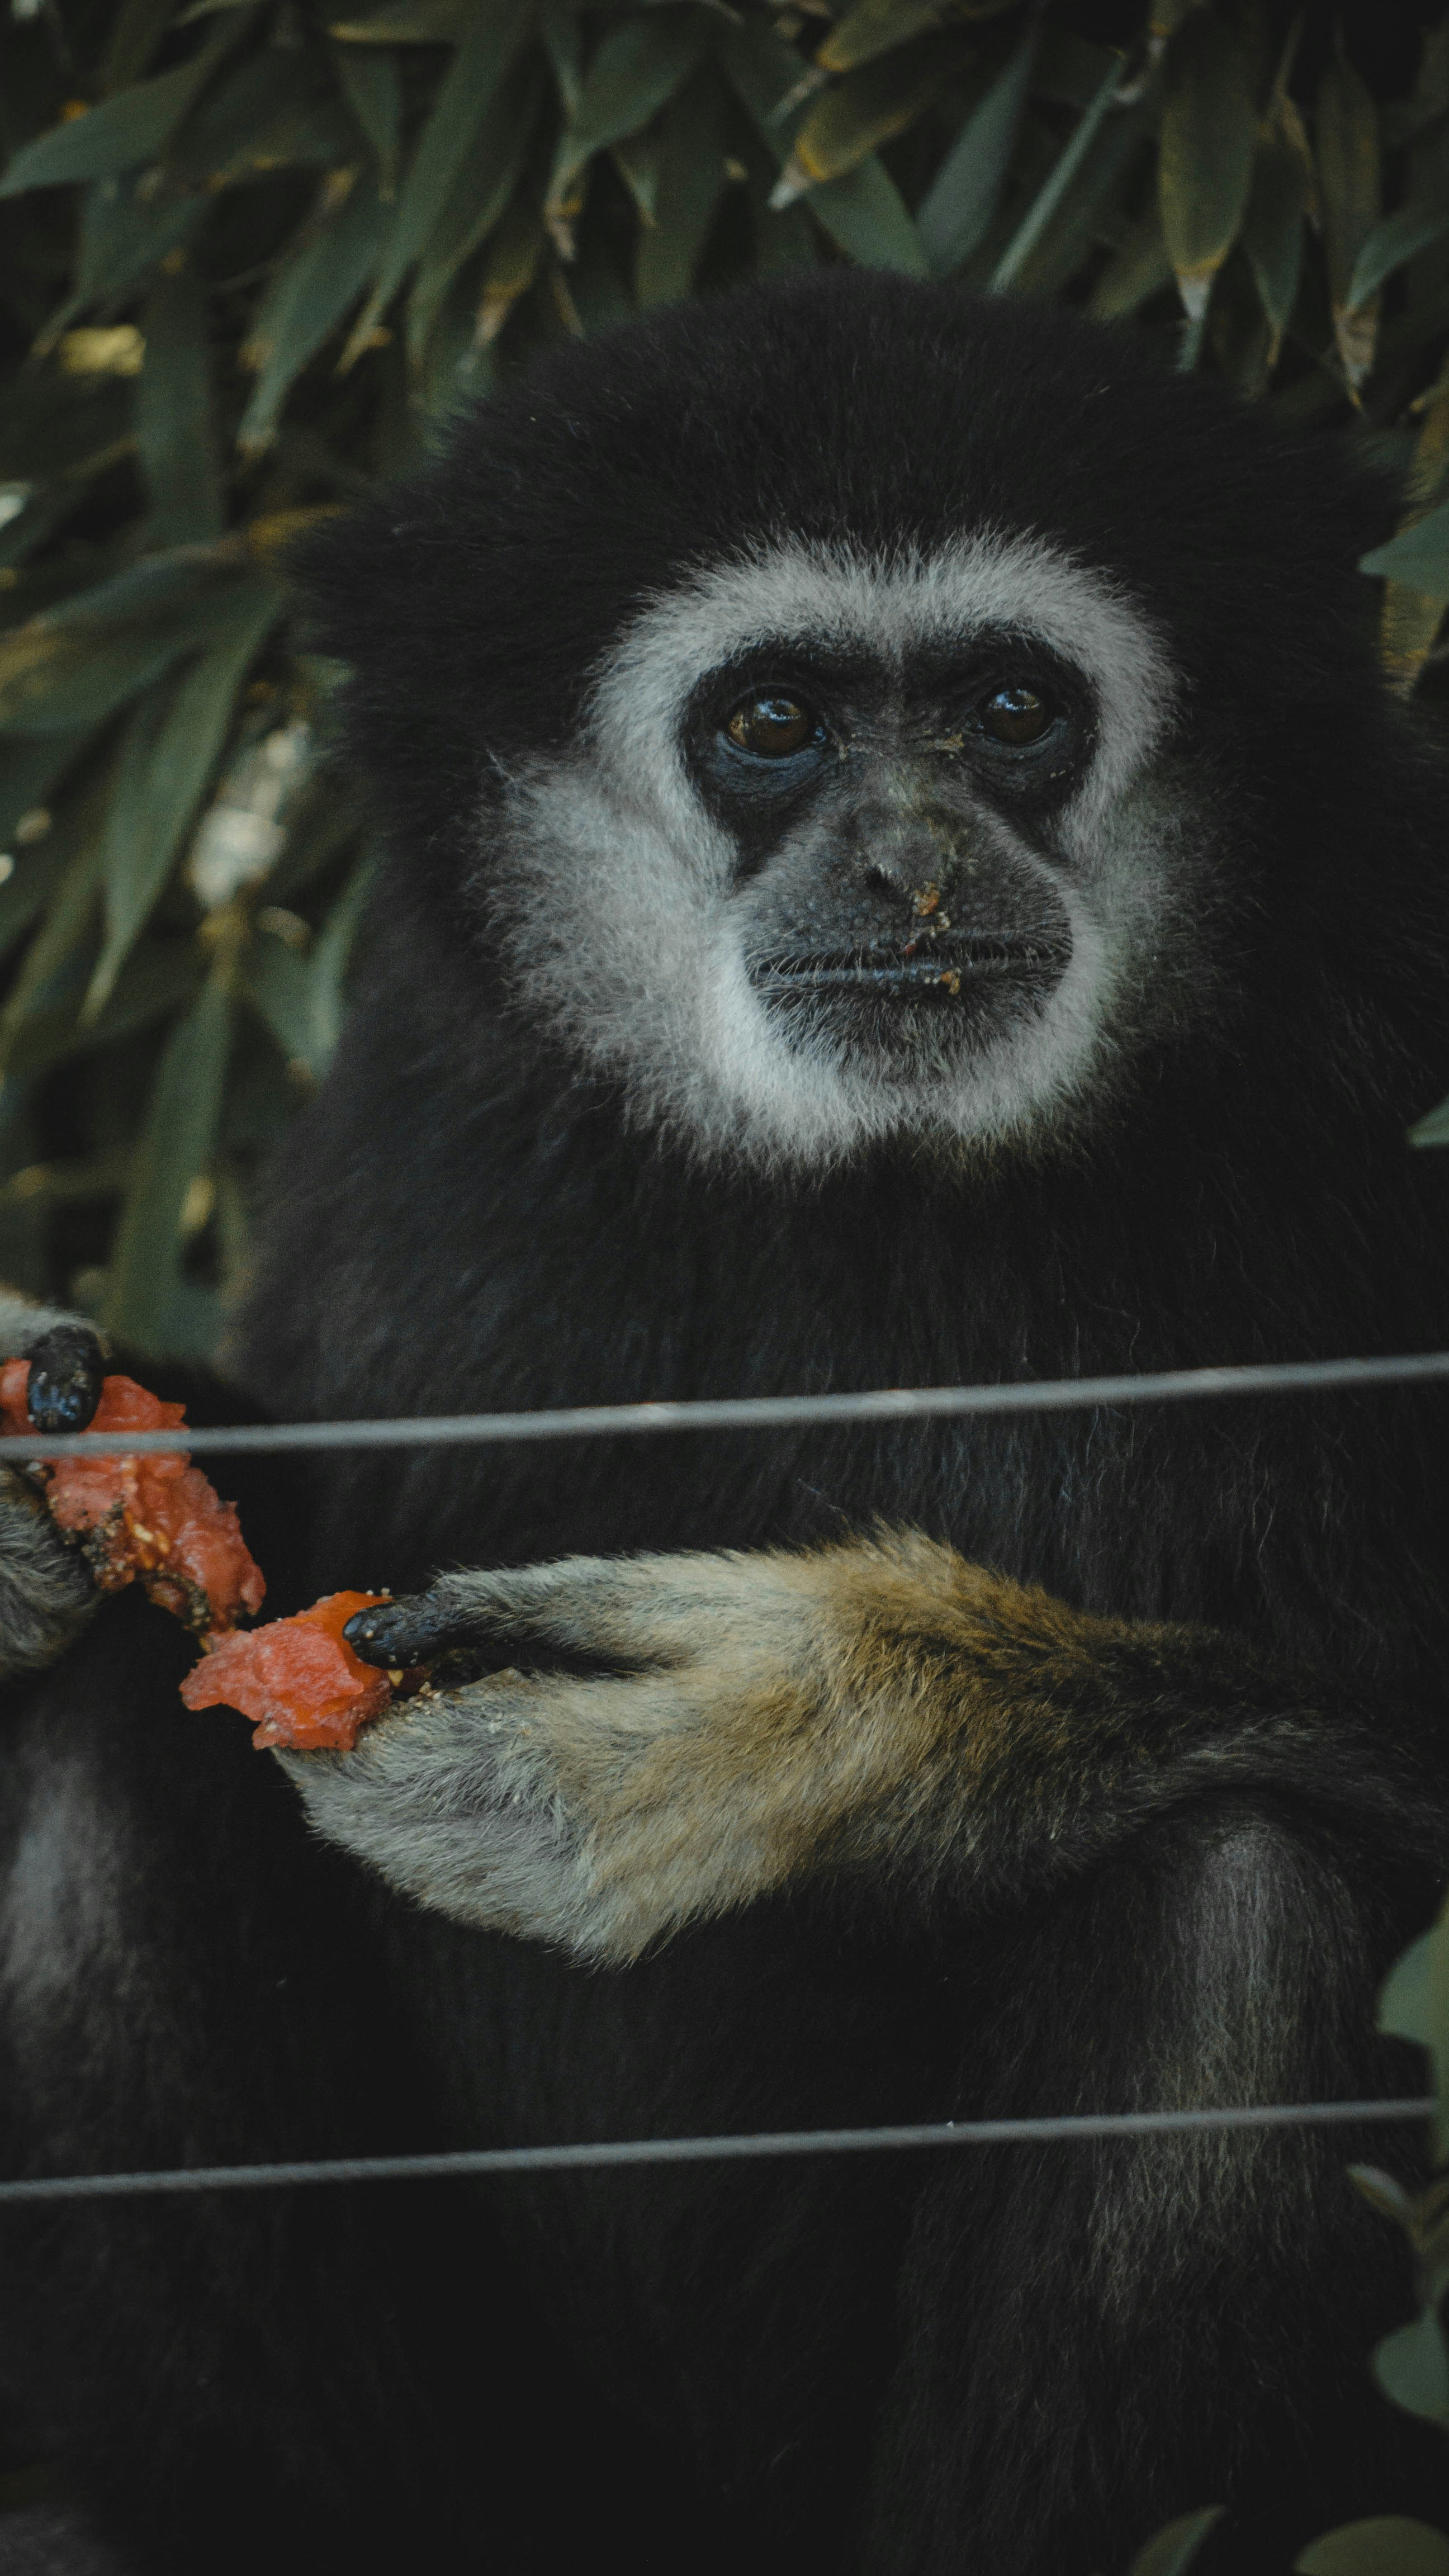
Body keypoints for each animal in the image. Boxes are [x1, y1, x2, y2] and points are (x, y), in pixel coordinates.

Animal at [2, 272, 1449, 2576]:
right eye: (772, 723)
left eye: (1011, 705)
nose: (911, 853)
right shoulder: (416, 1108)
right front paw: (46, 1485)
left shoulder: (1388, 1026)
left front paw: (787, 1723)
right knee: (97, 1737)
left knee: (1235, 1917)